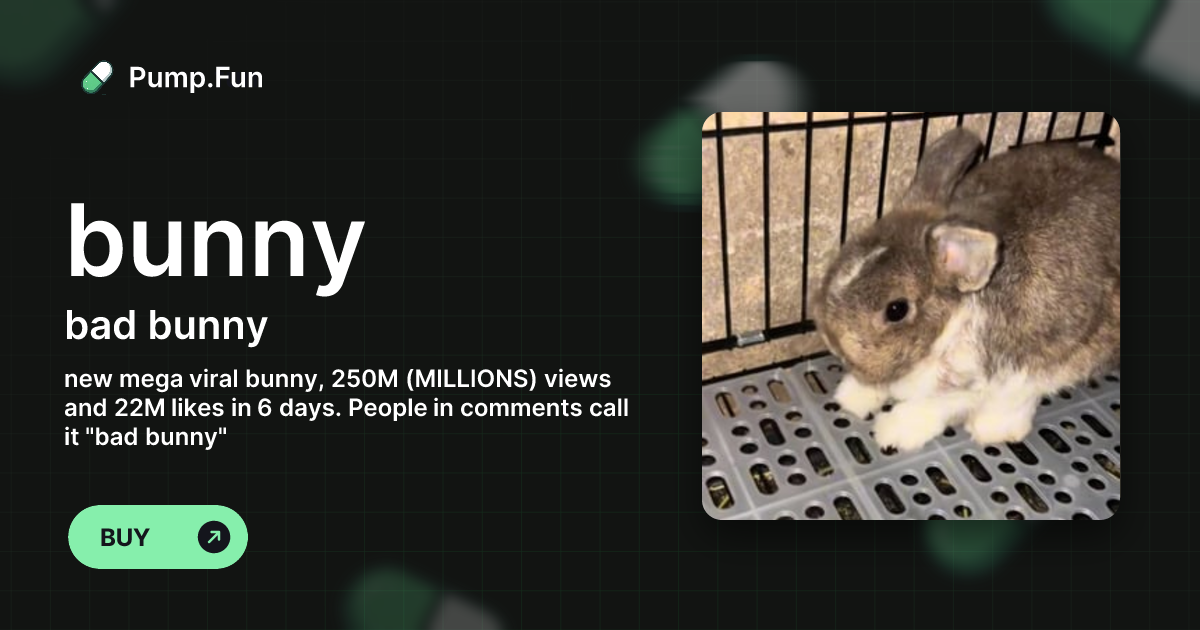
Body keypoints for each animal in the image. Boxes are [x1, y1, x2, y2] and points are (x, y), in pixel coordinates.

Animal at [813, 127, 1120, 452]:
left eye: (896, 309)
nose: (830, 337)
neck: (951, 325)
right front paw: (850, 397)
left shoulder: (991, 382)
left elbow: (935, 407)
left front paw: (891, 432)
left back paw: (992, 430)